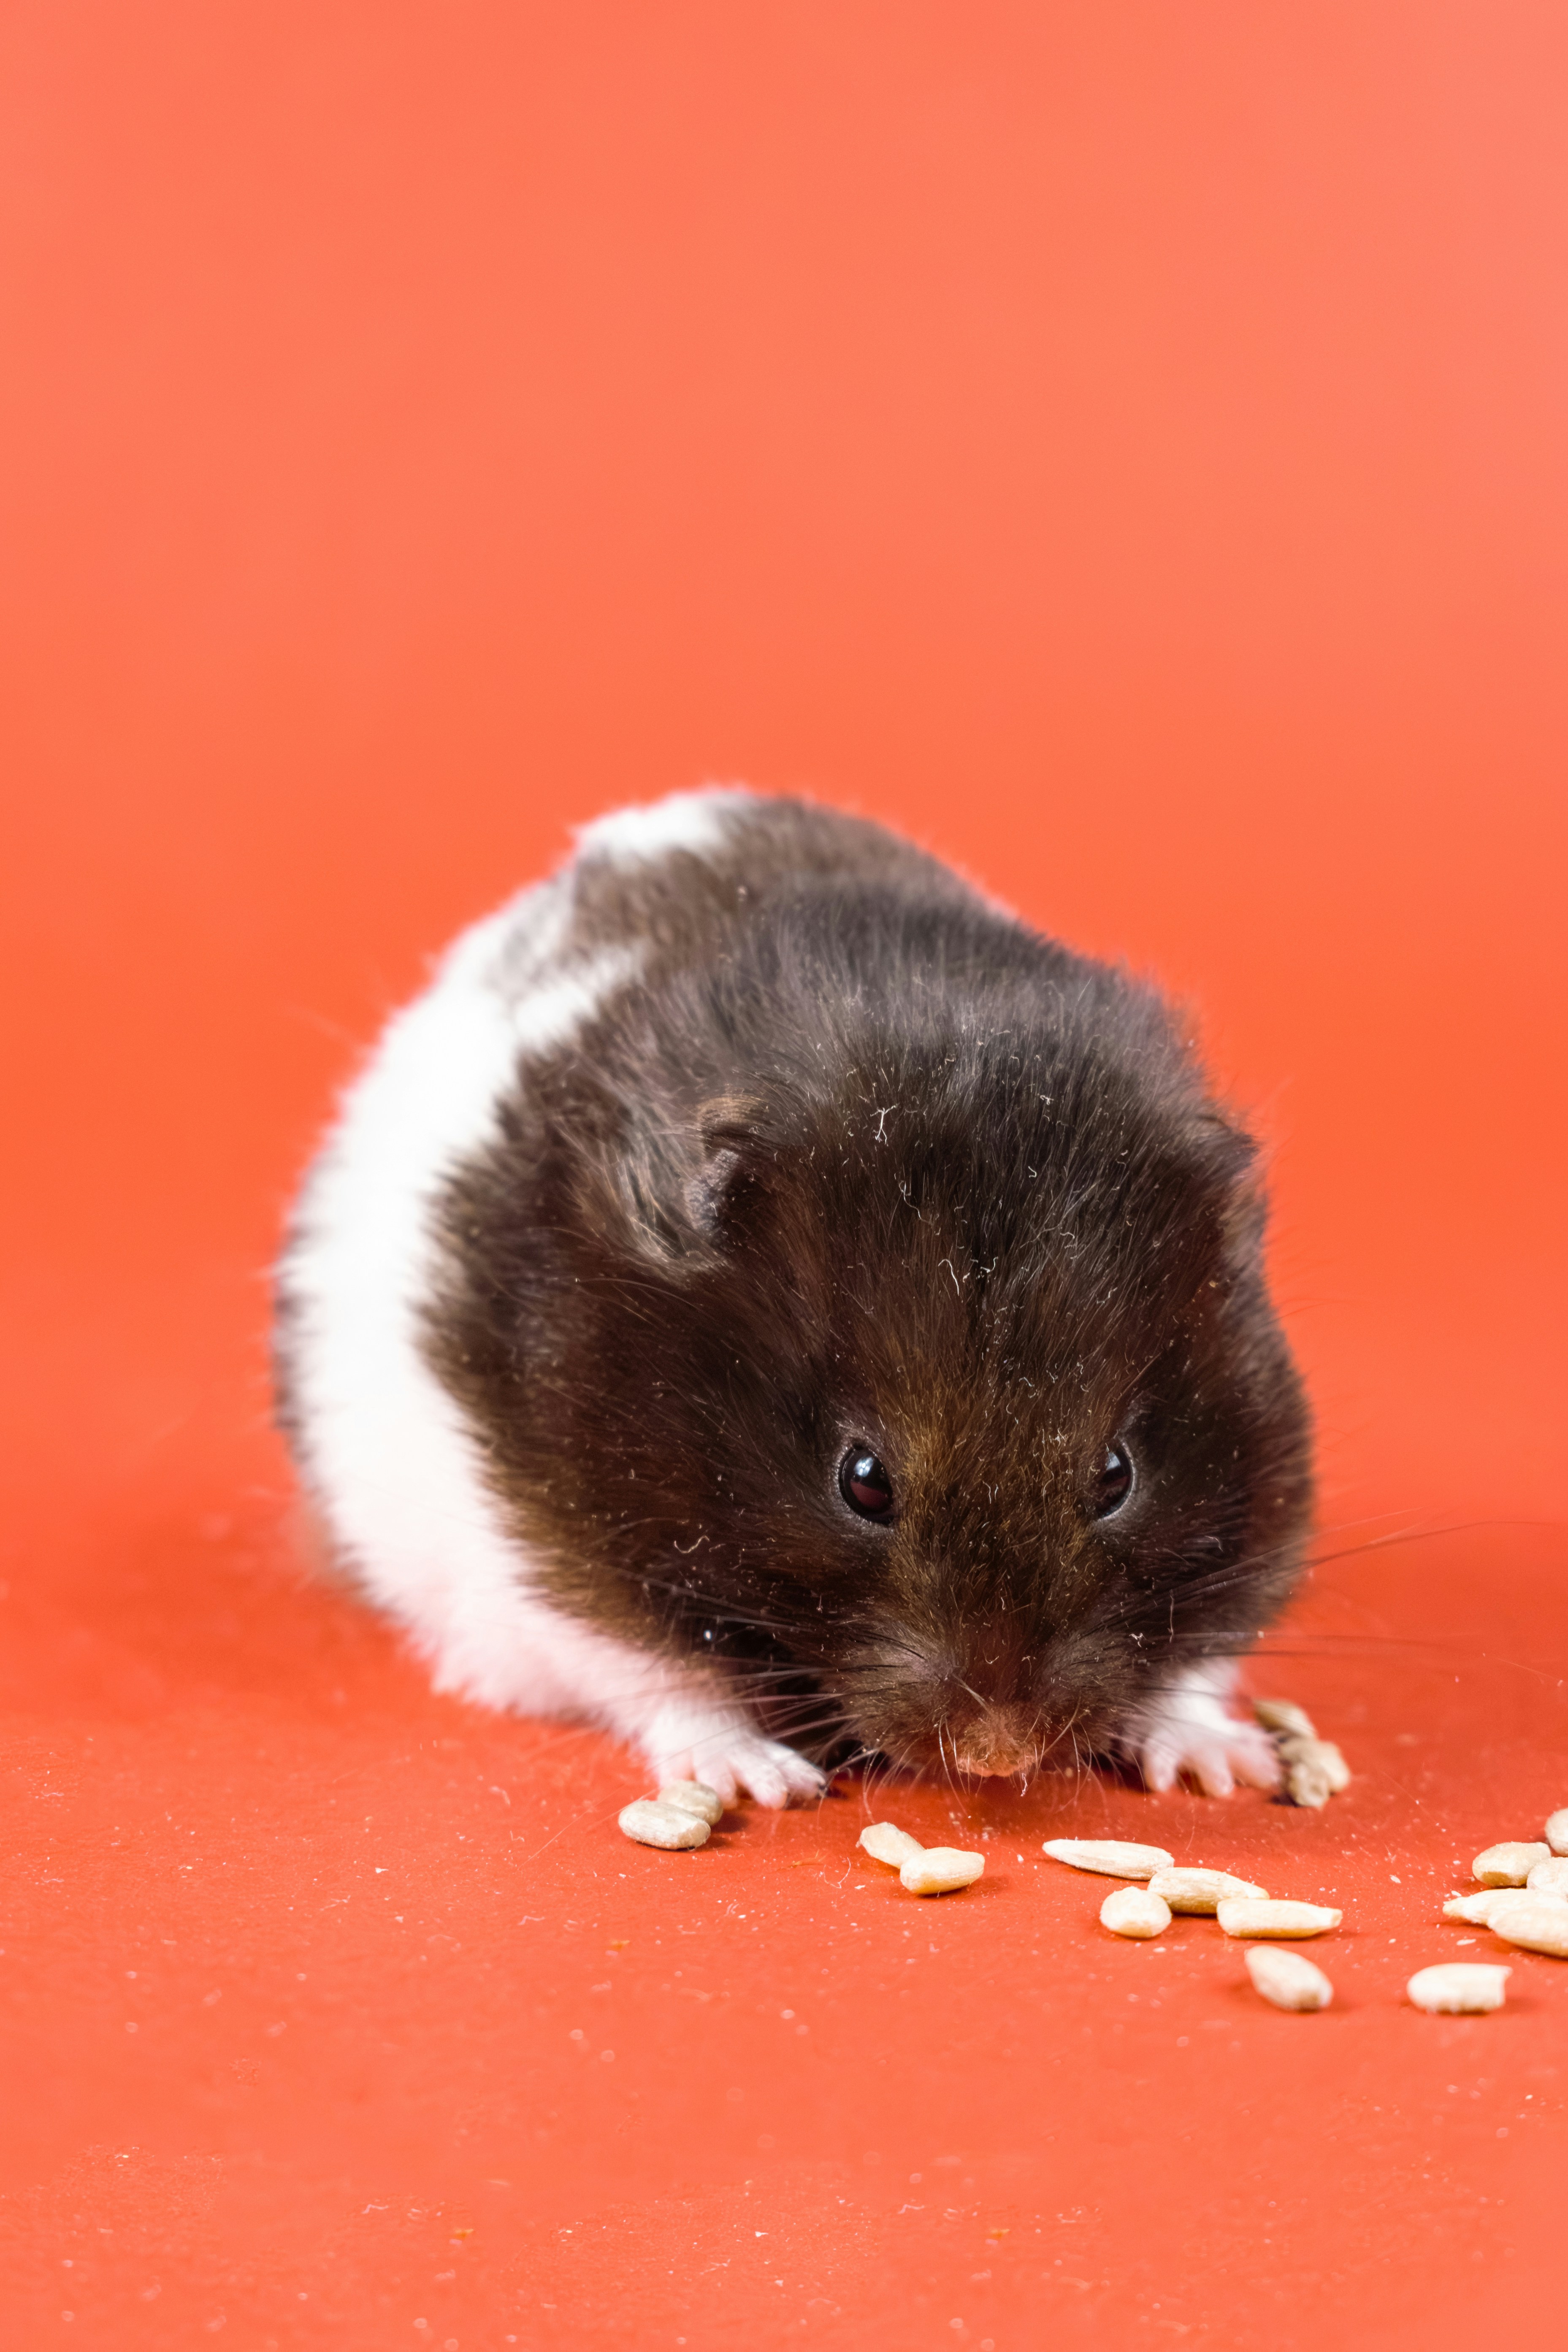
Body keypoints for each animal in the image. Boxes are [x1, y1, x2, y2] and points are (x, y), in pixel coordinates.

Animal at [275, 789, 1311, 1806]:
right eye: (864, 1480)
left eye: (1115, 1475)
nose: (998, 1752)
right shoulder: (554, 1553)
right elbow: (663, 1675)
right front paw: (759, 1782)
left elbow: (1197, 1663)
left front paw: (1226, 1767)